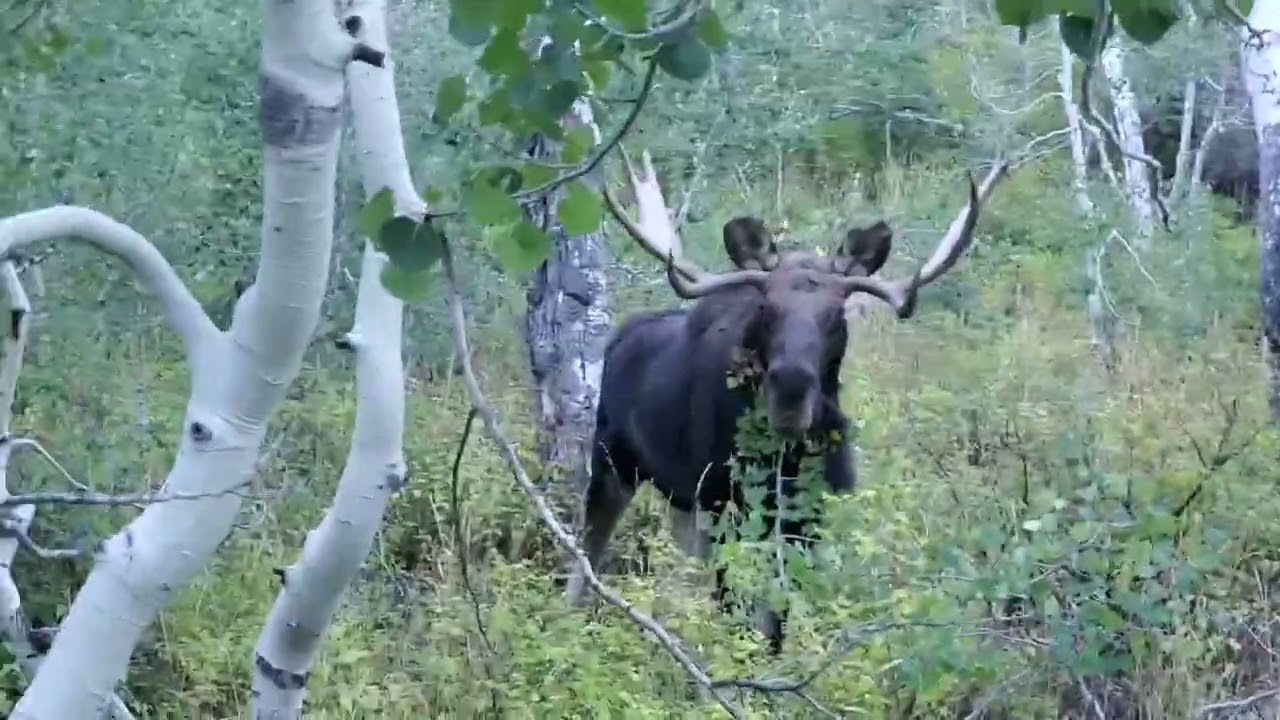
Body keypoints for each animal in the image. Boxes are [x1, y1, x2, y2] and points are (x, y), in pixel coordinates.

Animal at [565, 148, 1009, 653]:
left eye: (837, 314)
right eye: (766, 307)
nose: (791, 390)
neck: (785, 458)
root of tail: (620, 337)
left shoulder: (808, 514)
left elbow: (780, 613)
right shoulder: (722, 502)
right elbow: (737, 608)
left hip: (679, 497)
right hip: (614, 464)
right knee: (586, 555)